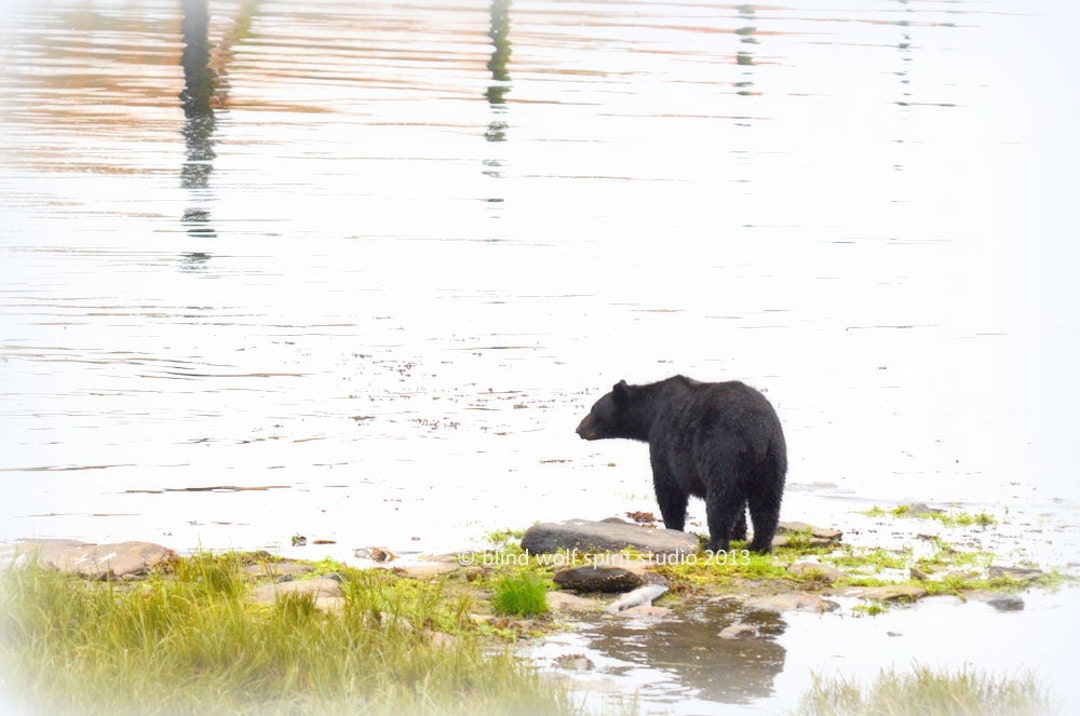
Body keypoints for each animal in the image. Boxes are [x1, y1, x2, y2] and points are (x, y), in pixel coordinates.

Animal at [576, 375, 786, 553]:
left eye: (593, 409)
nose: (578, 429)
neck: (651, 412)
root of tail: (758, 432)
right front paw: (739, 533)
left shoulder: (664, 439)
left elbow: (668, 489)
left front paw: (673, 527)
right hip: (773, 461)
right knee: (767, 503)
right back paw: (759, 545)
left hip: (724, 452)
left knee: (721, 501)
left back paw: (715, 544)